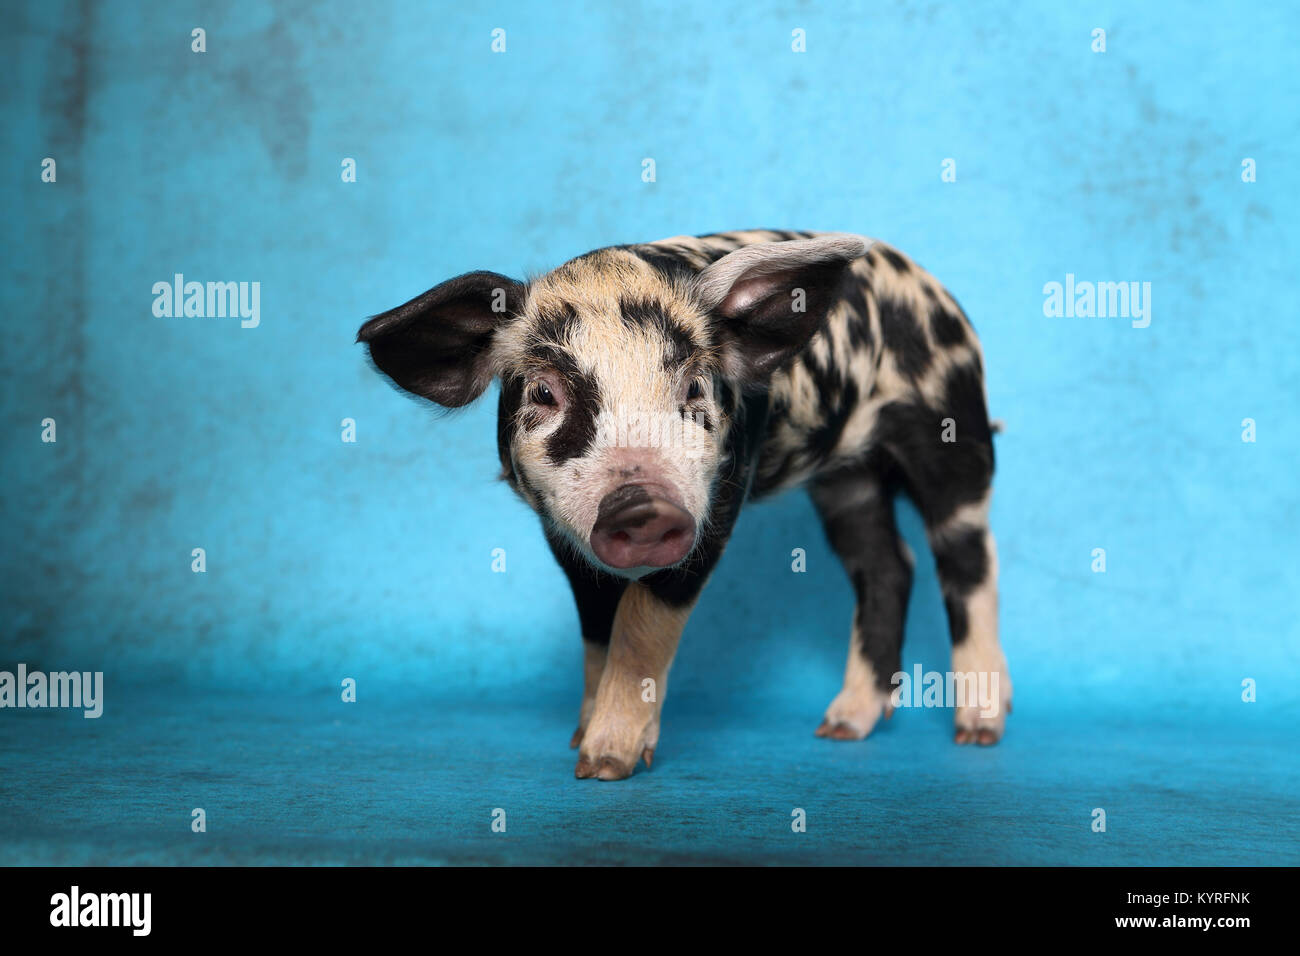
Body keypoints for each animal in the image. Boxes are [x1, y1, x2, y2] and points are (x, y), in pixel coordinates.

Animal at [357, 230, 1011, 780]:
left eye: (695, 388)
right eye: (544, 392)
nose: (642, 505)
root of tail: (941, 298)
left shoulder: (714, 510)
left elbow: (642, 623)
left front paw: (606, 765)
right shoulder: (560, 531)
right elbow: (598, 630)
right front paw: (579, 740)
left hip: (952, 433)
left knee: (969, 560)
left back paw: (978, 731)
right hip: (847, 479)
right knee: (886, 564)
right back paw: (840, 728)